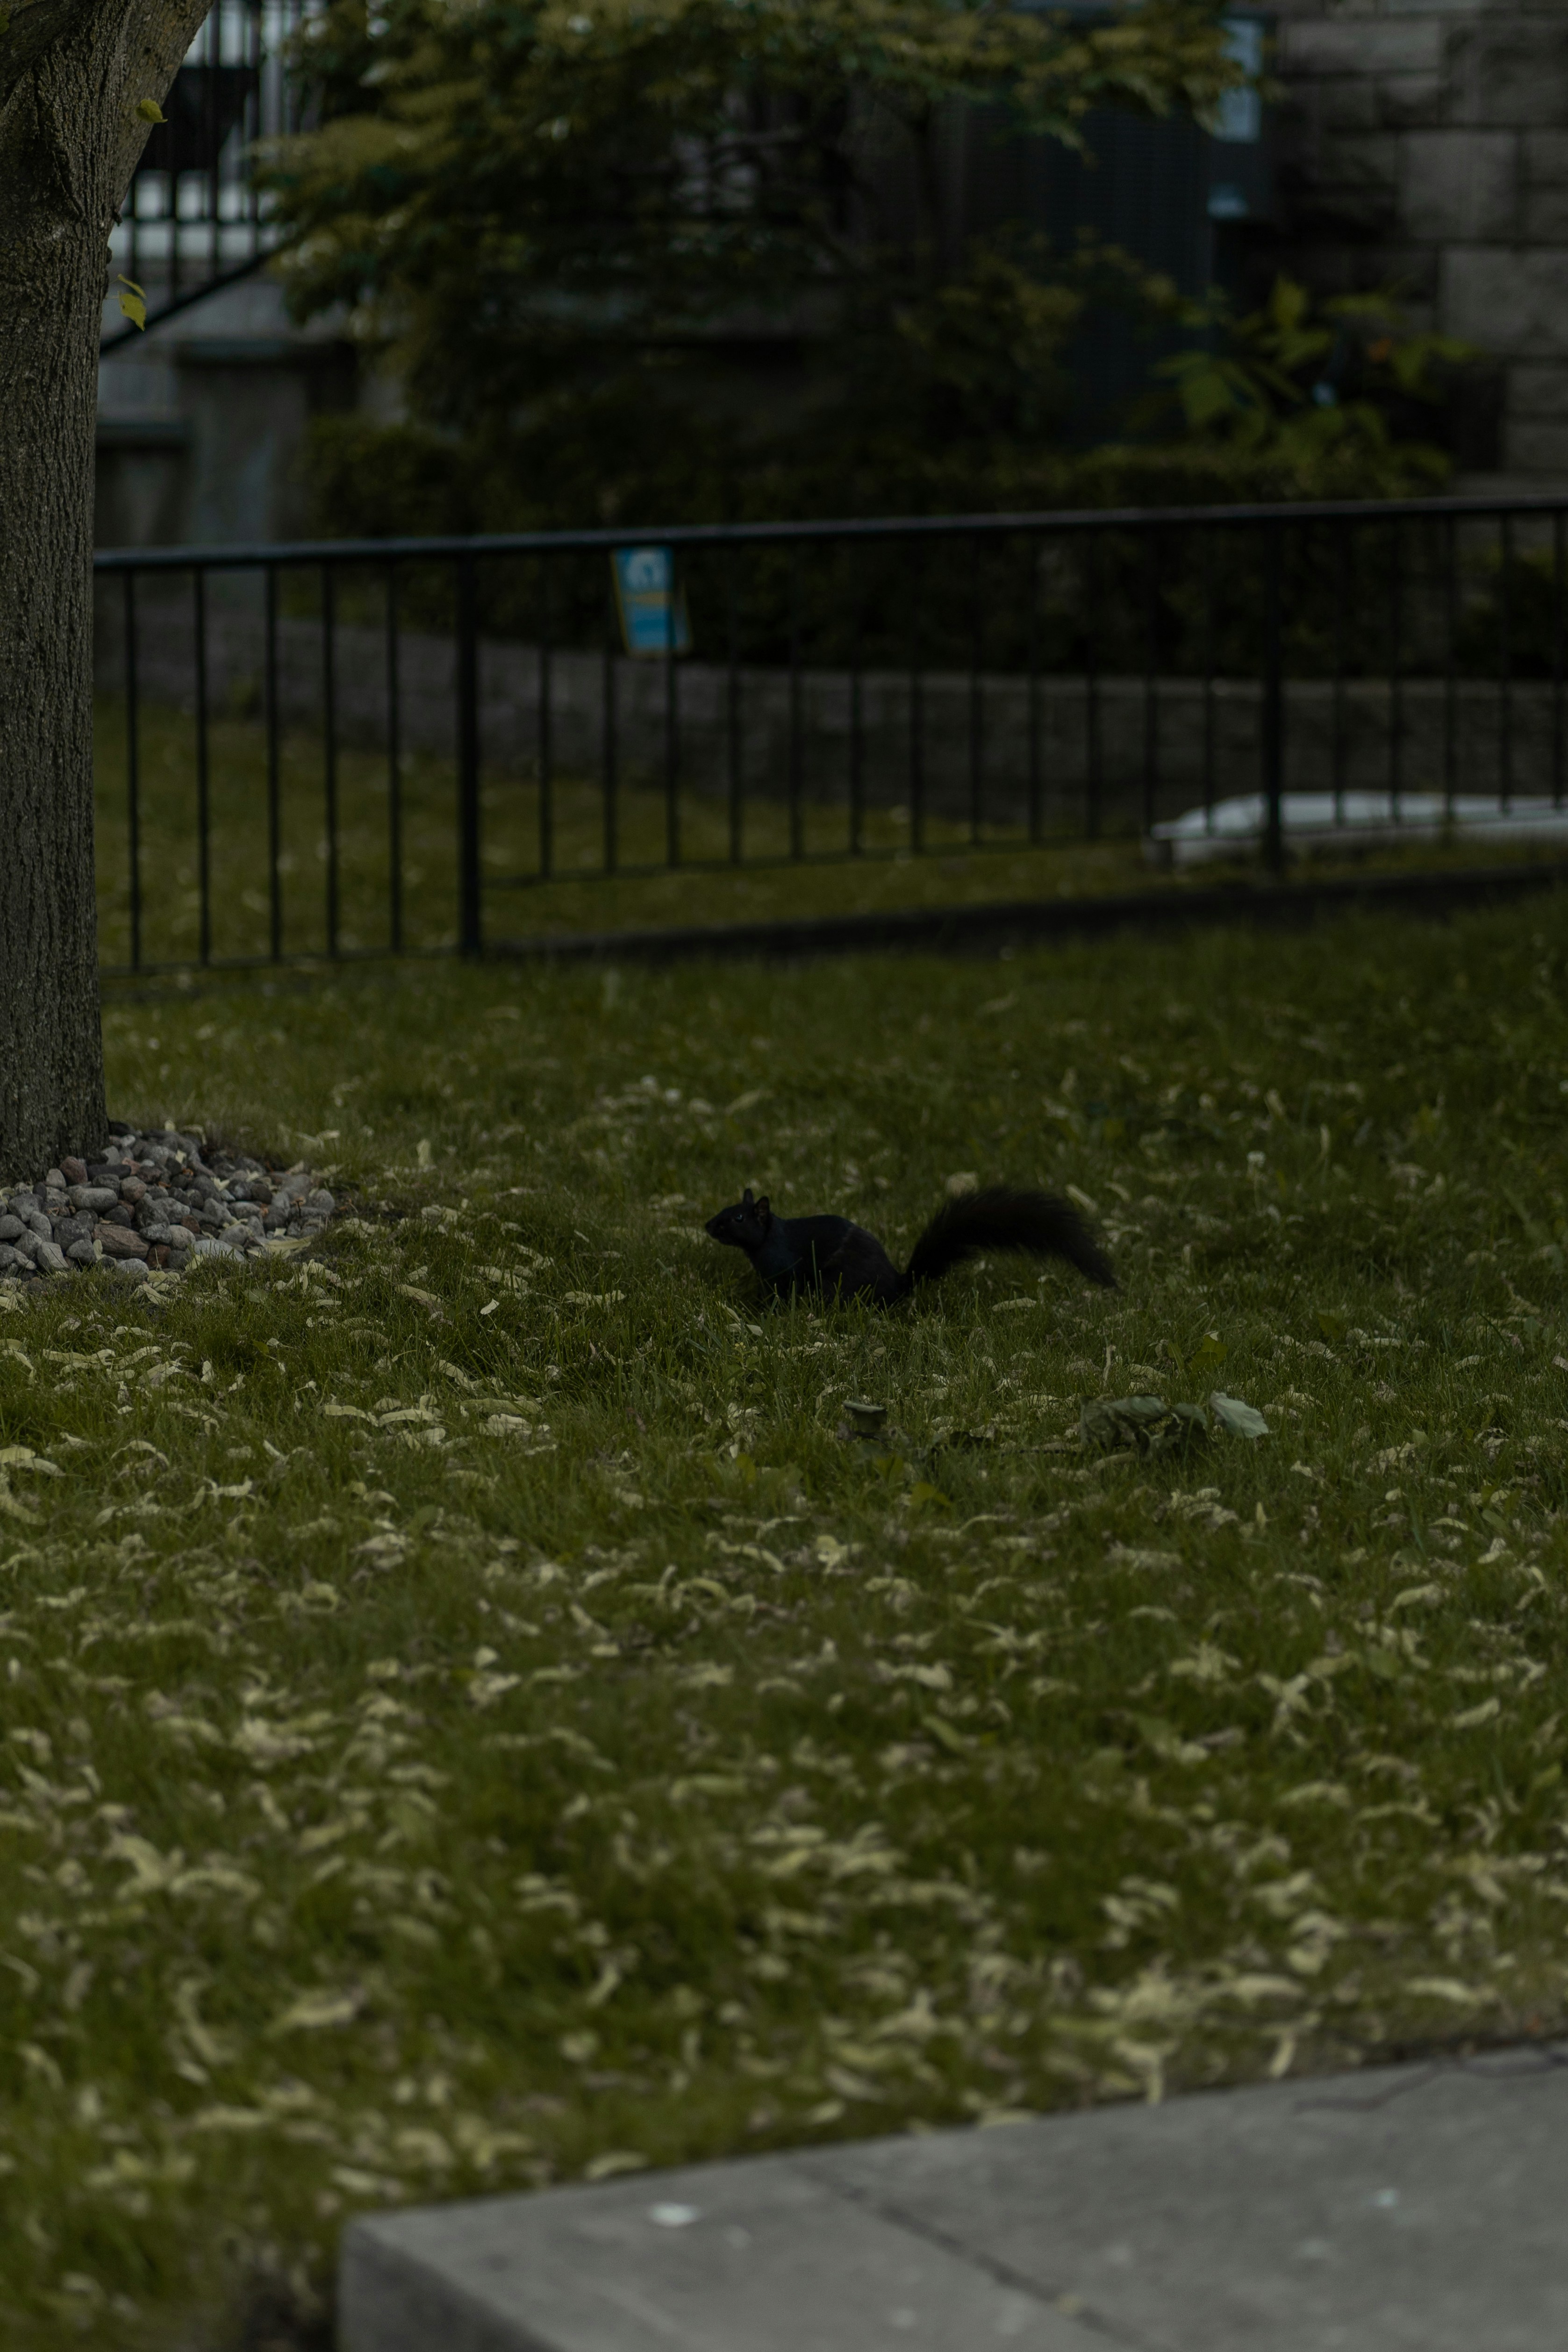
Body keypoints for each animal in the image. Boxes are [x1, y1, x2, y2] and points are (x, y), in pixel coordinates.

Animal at [704, 1184, 1115, 1306]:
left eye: (738, 1218)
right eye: (724, 1209)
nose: (709, 1225)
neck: (767, 1242)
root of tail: (898, 1284)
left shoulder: (786, 1270)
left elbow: (780, 1293)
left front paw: (760, 1309)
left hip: (840, 1283)